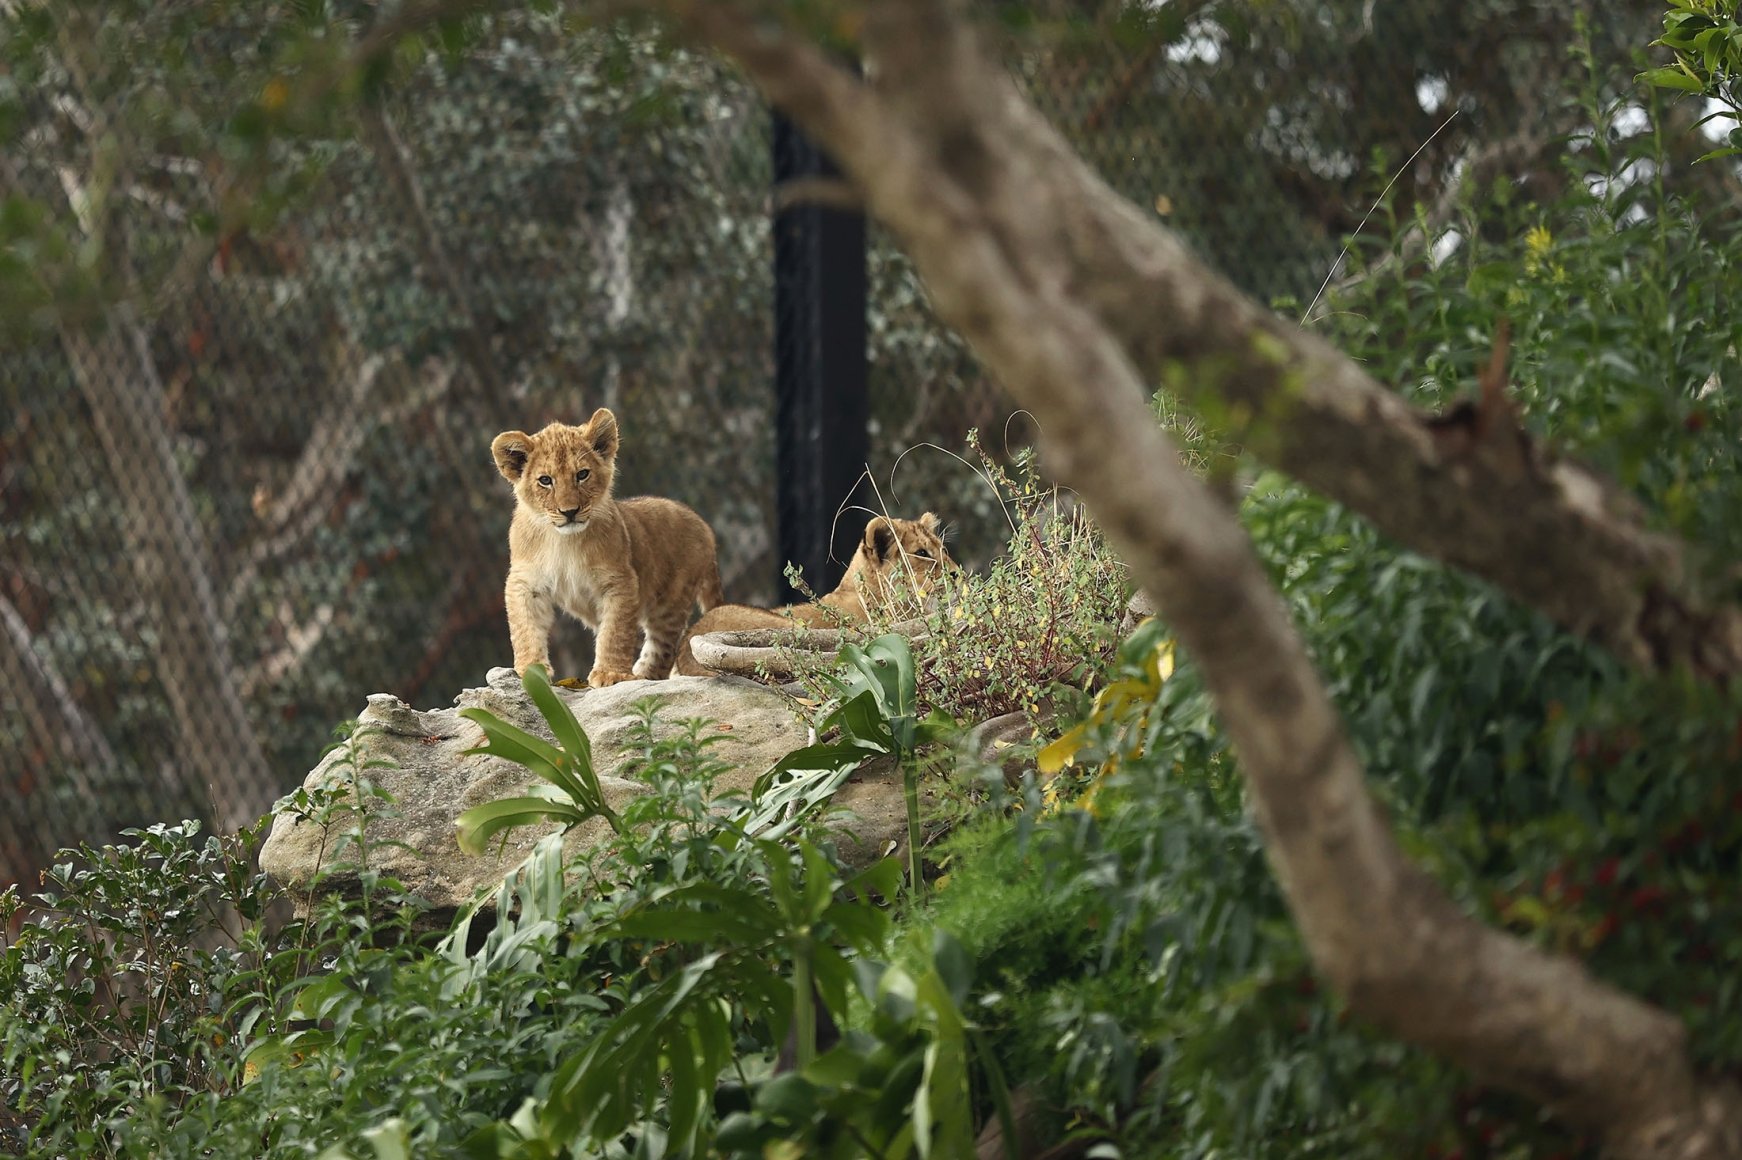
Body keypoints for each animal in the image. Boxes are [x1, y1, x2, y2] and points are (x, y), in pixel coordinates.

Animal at [490, 408, 722, 688]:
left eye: (582, 474)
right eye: (545, 480)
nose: (569, 512)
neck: (563, 541)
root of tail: (704, 526)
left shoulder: (619, 581)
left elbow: (615, 631)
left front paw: (610, 673)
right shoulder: (525, 582)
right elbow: (525, 627)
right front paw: (530, 670)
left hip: (670, 603)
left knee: (662, 648)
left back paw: (642, 675)